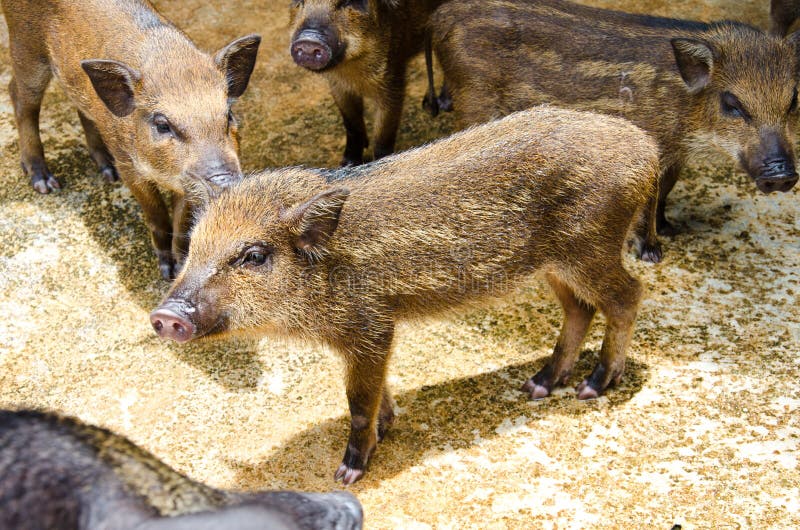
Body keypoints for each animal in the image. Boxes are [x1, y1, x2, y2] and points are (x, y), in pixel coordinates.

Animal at [1, 0, 261, 279]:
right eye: (162, 125)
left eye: (228, 115)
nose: (224, 179)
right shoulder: (128, 164)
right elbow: (156, 214)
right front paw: (167, 271)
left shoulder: (186, 181)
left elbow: (181, 224)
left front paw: (178, 268)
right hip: (25, 47)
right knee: (18, 96)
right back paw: (45, 183)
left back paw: (107, 172)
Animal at [151, 106, 660, 484]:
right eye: (193, 244)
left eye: (253, 255)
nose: (165, 315)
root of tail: (649, 150)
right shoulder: (369, 333)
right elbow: (377, 391)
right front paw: (387, 425)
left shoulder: (370, 325)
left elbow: (358, 403)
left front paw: (348, 473)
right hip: (556, 264)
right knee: (580, 308)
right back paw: (537, 385)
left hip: (591, 245)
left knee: (628, 295)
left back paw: (593, 386)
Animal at [289, 0, 446, 166]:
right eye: (300, 2)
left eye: (348, 2)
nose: (309, 41)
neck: (353, 74)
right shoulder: (337, 86)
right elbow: (352, 125)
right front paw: (347, 164)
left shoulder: (394, 77)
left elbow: (383, 137)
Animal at [427, 0, 800, 237]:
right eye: (732, 103)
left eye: (793, 99)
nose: (781, 174)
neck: (683, 104)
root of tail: (439, 17)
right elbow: (649, 198)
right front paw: (650, 252)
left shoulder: (676, 154)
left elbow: (665, 190)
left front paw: (670, 230)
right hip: (474, 99)